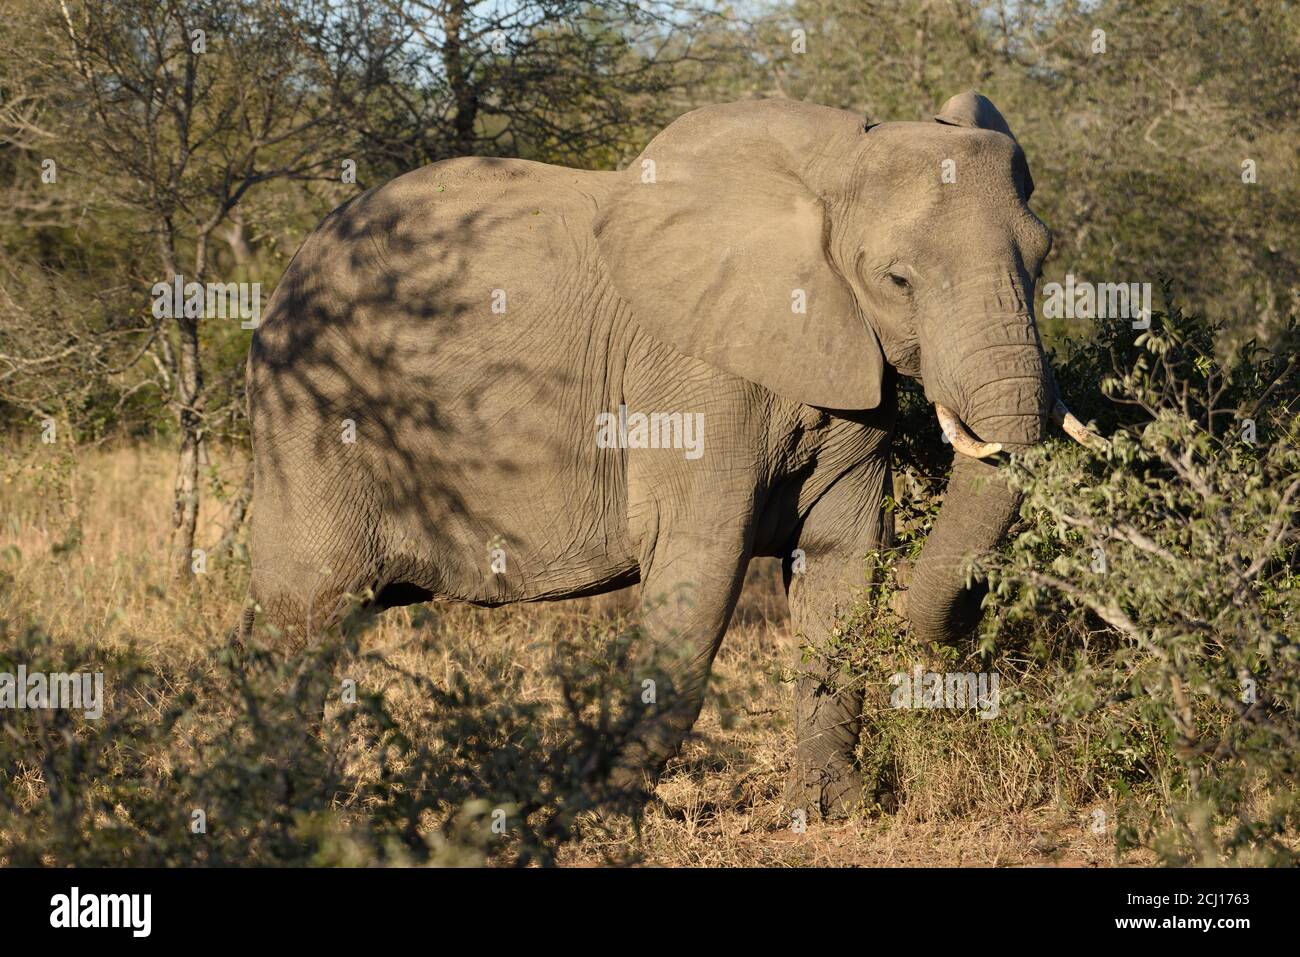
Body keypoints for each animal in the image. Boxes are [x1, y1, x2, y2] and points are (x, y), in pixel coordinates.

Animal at [243, 91, 1096, 817]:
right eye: (897, 278)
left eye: (1043, 258)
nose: (957, 635)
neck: (824, 174)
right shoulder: (689, 374)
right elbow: (701, 560)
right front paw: (597, 811)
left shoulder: (851, 366)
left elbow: (841, 559)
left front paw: (832, 810)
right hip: (312, 418)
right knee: (307, 615)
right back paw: (288, 807)